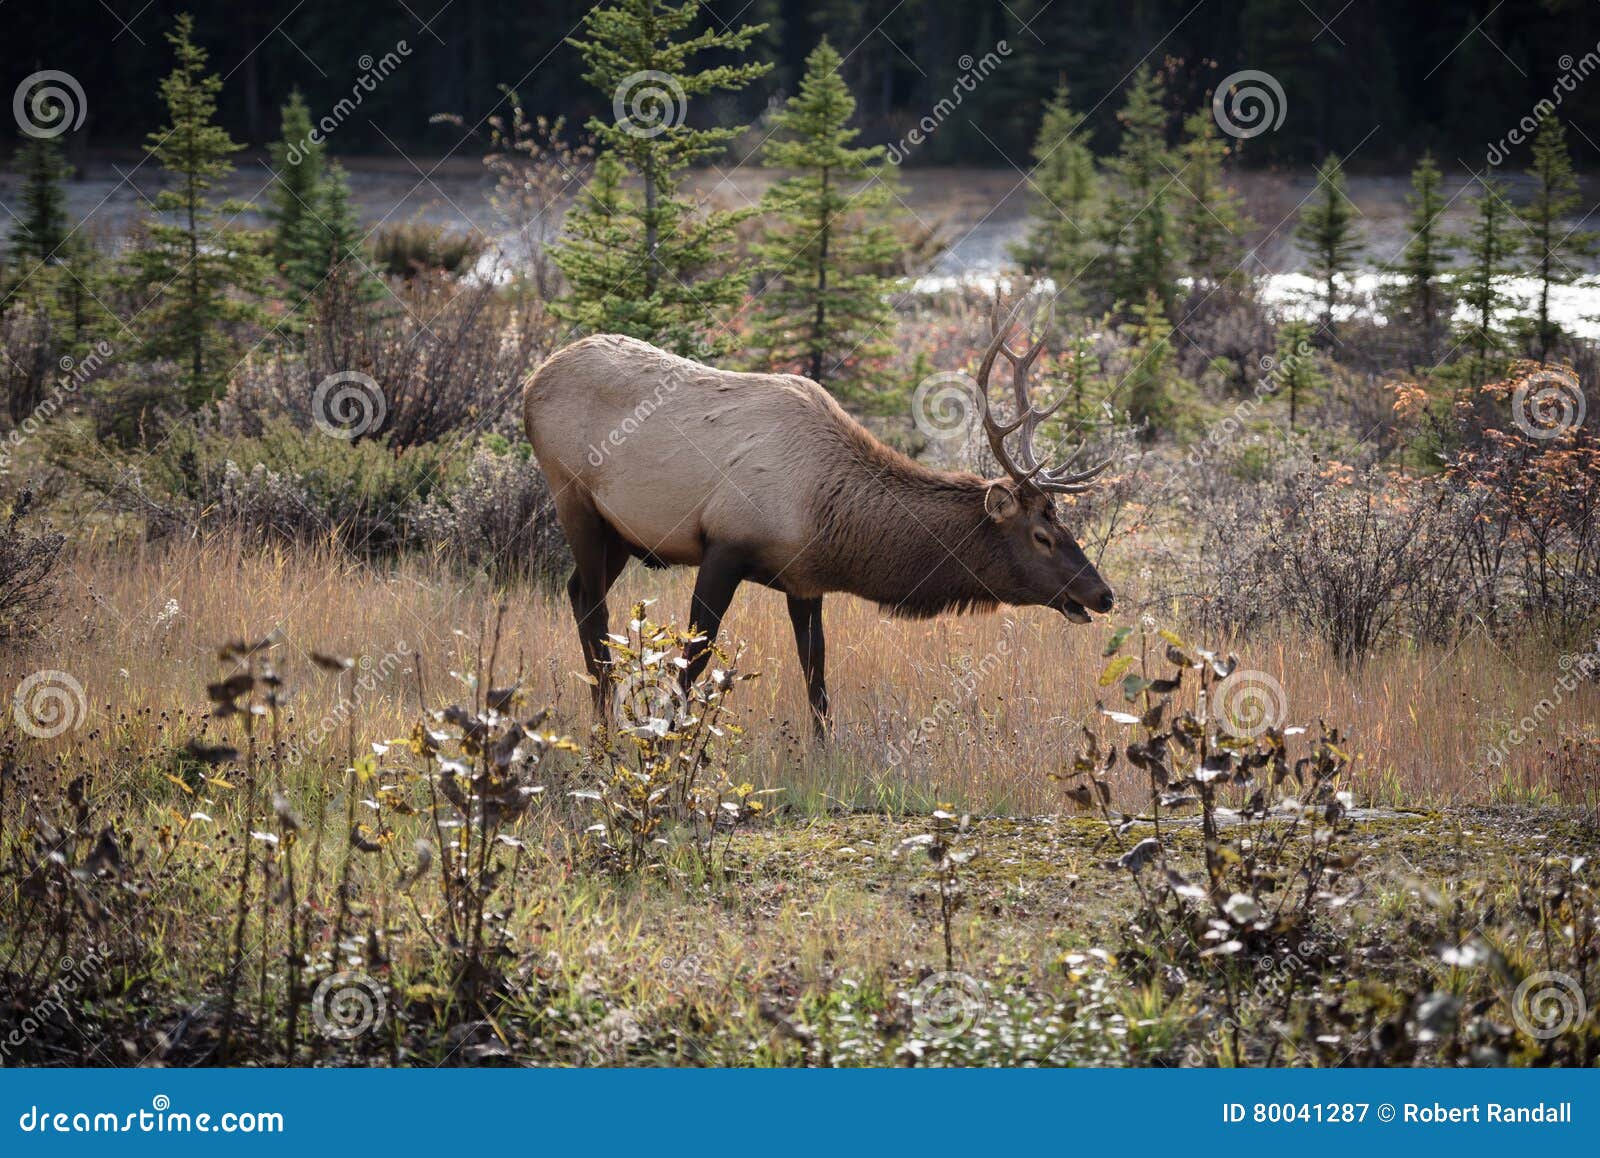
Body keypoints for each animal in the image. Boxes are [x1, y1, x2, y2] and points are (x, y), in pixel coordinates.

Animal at [521, 311, 1115, 735]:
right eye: (1043, 536)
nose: (1103, 594)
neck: (826, 516)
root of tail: (531, 382)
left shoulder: (804, 581)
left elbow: (818, 679)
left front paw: (825, 757)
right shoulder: (724, 547)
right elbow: (691, 661)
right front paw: (667, 744)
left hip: (619, 534)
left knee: (576, 593)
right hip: (573, 498)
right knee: (592, 606)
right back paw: (604, 724)